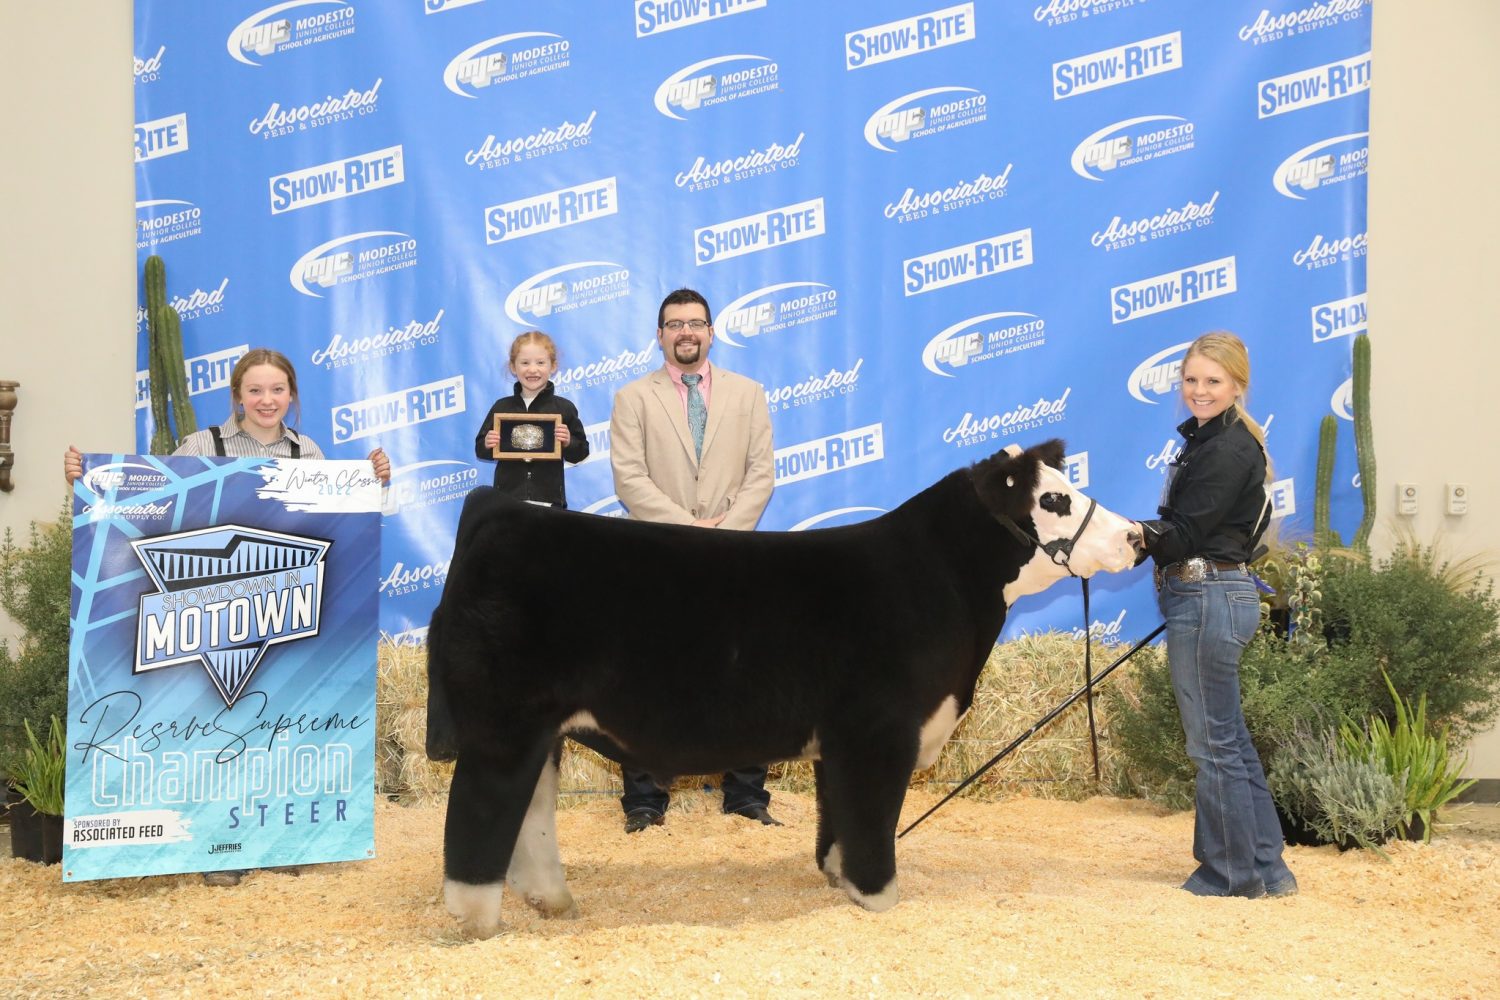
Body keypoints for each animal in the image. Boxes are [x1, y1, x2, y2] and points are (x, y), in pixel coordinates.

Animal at [425, 439, 1138, 938]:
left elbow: (840, 817)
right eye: (1053, 501)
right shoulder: (880, 732)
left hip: (542, 729)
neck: (939, 577)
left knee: (533, 811)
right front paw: (880, 898)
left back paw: (553, 902)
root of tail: (502, 512)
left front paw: (840, 881)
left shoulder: (841, 742)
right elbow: (874, 818)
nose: (1139, 534)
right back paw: (477, 919)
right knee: (481, 810)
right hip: (505, 725)